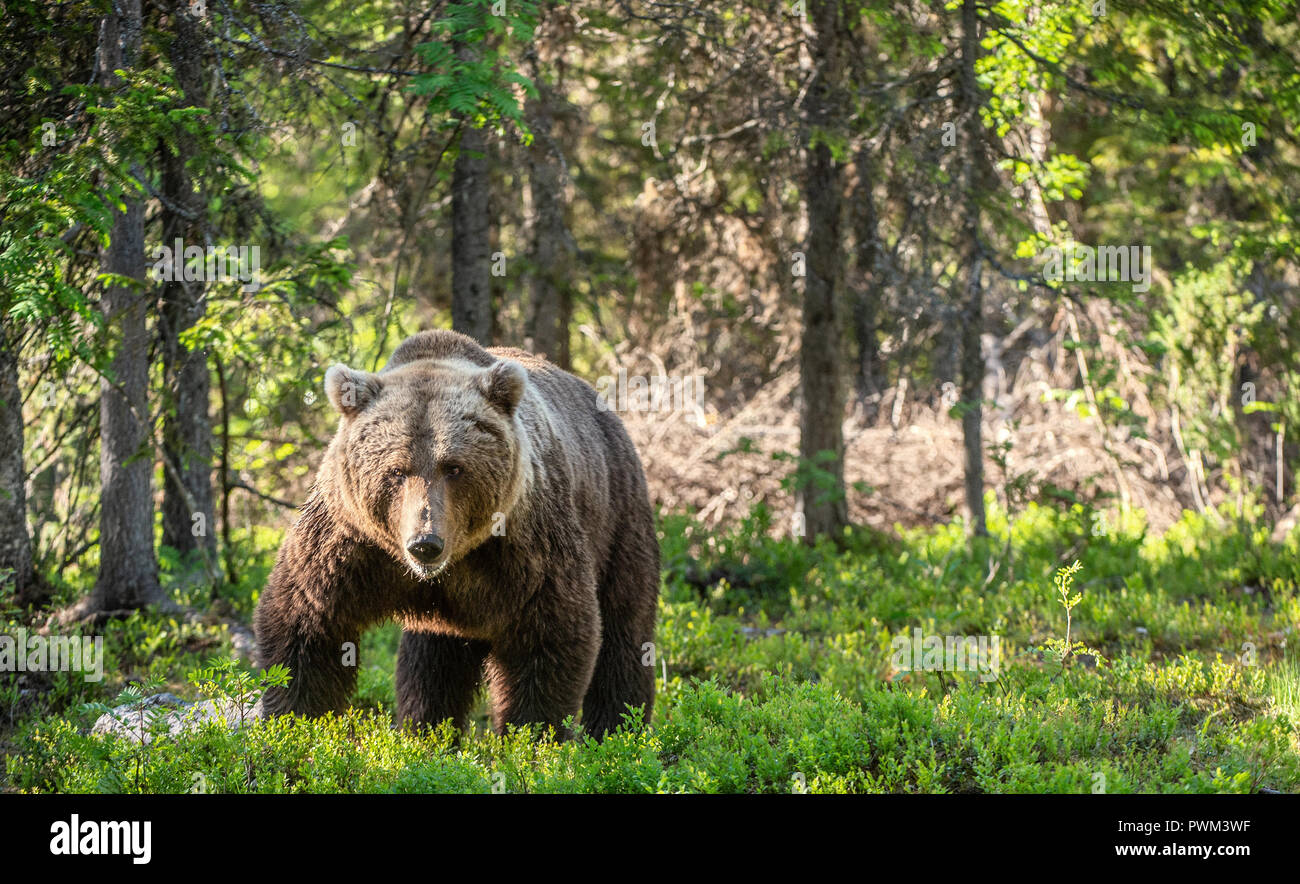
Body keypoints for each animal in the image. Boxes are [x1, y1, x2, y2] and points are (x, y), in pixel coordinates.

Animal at [253, 329, 660, 740]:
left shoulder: (527, 545)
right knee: (431, 661)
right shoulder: (348, 541)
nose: (425, 544)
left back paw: (620, 730)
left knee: (625, 629)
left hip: (618, 519)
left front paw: (530, 736)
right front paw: (292, 724)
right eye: (396, 470)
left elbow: (551, 635)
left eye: (454, 467)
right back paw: (427, 729)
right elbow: (308, 623)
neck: (457, 558)